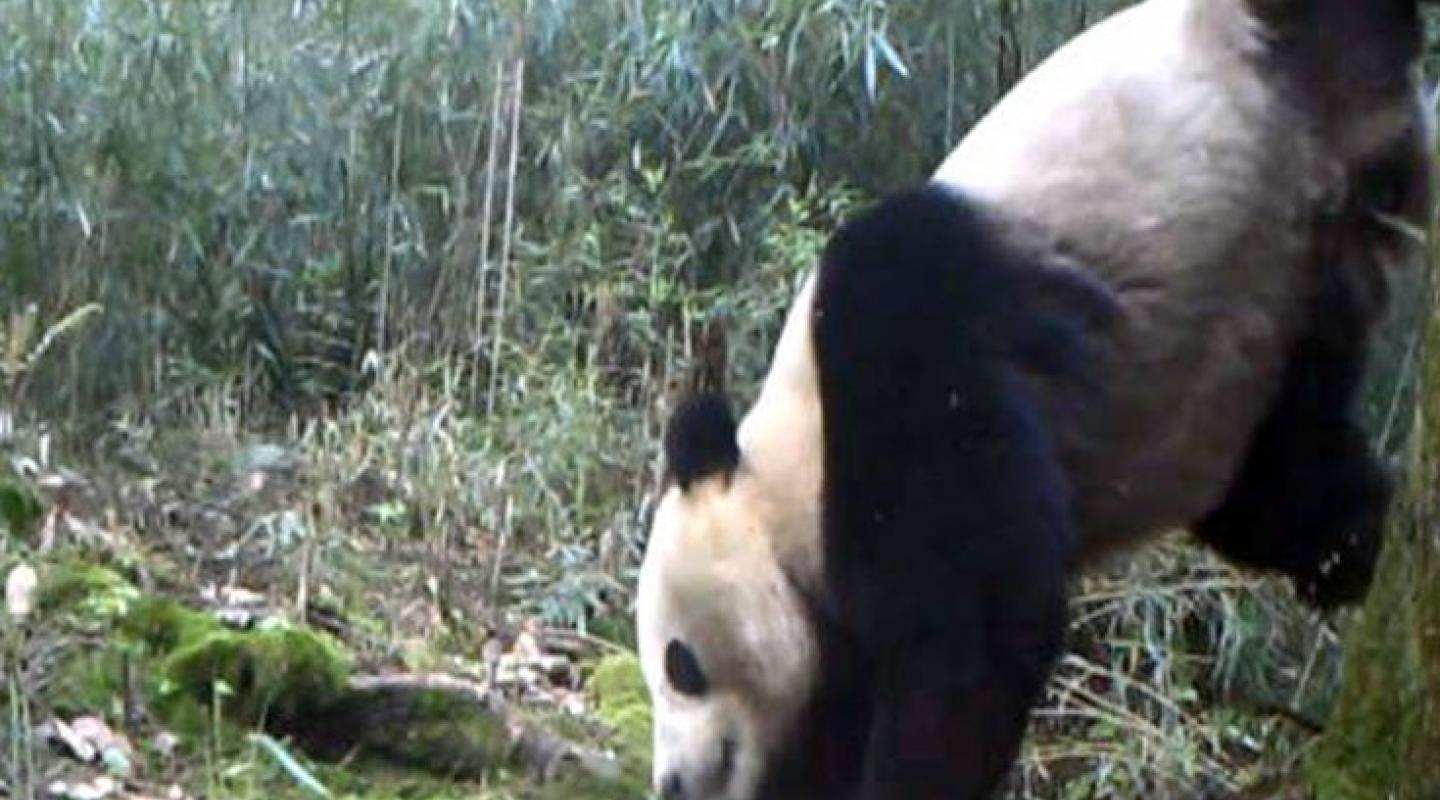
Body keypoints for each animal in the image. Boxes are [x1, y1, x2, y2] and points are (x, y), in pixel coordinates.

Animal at [635, 0, 1433, 798]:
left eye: (680, 663)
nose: (673, 781)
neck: (792, 468)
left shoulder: (903, 353)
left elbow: (973, 631)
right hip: (1286, 301)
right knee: (1286, 475)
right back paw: (1358, 543)